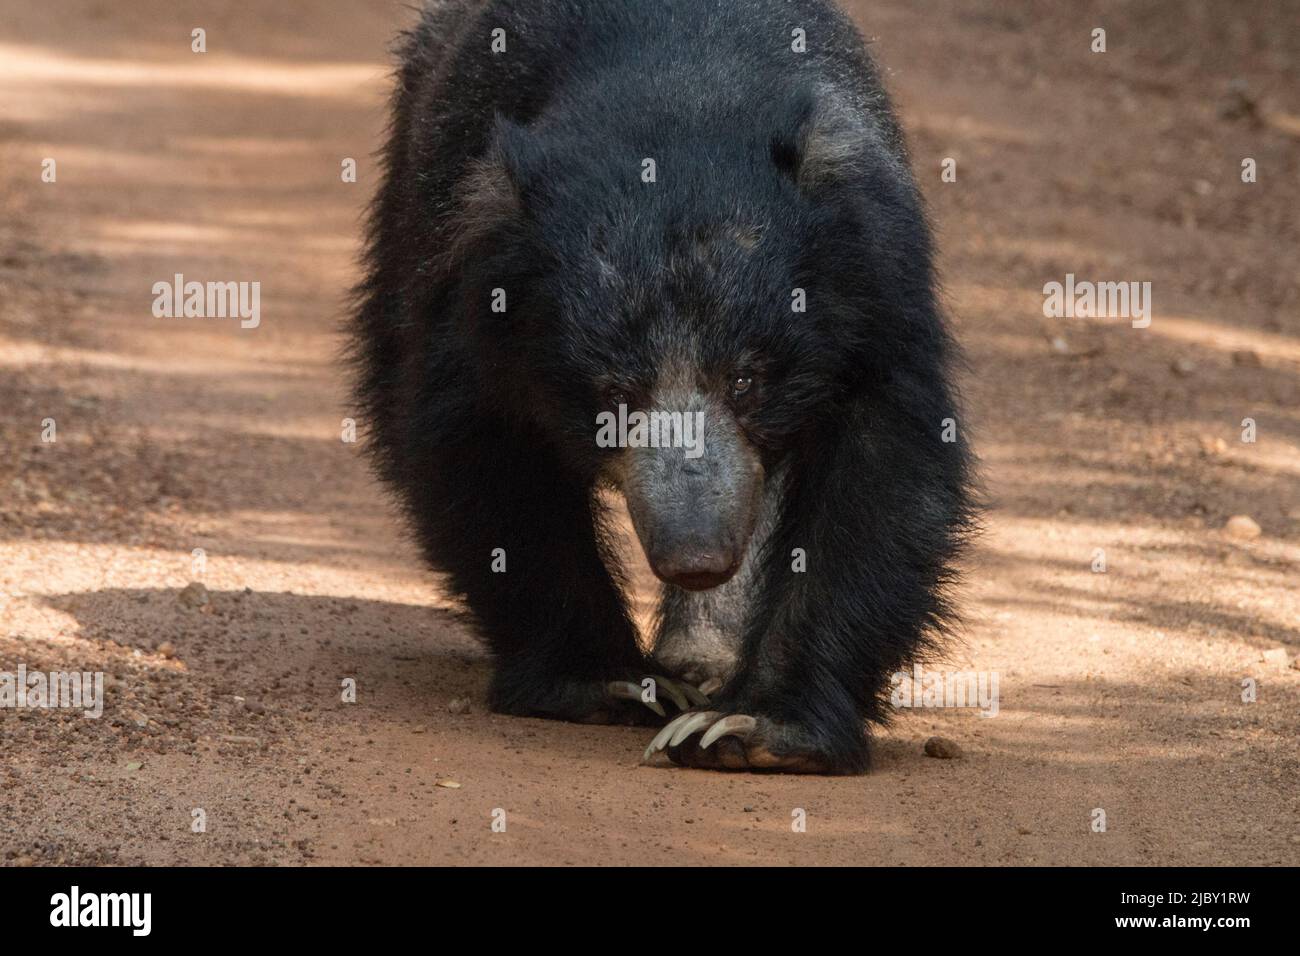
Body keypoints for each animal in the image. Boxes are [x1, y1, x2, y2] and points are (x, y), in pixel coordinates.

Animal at [349, 0, 977, 773]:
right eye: (615, 396)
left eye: (744, 380)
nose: (697, 557)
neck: (676, 100)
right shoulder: (473, 287)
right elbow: (488, 454)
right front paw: (610, 684)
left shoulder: (872, 278)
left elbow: (883, 469)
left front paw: (753, 728)